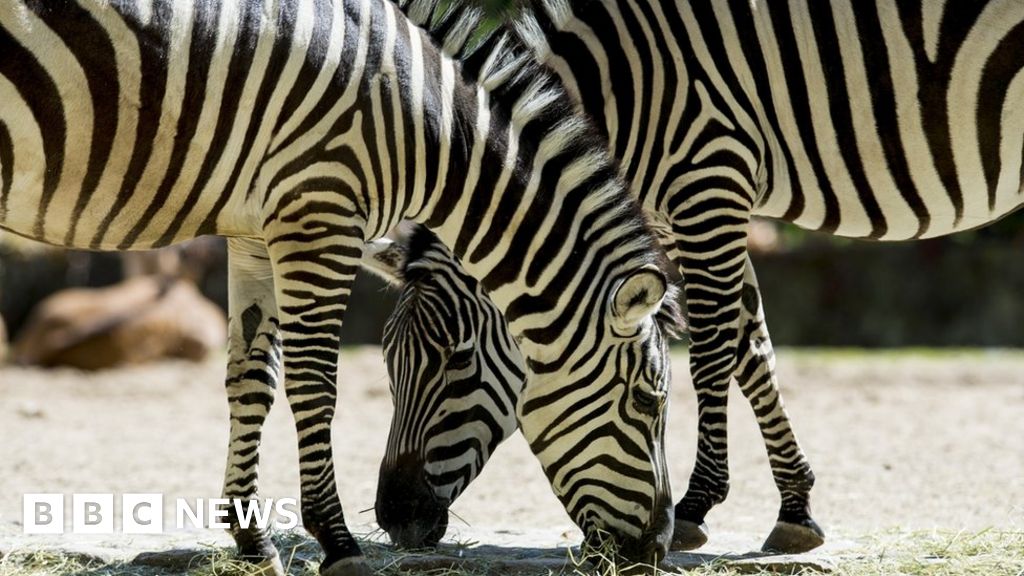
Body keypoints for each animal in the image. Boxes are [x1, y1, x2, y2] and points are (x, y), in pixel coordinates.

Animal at [0, 0, 686, 573]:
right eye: (649, 400)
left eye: (445, 362)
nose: (654, 549)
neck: (425, 131)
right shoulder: (319, 213)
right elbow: (314, 386)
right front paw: (336, 541)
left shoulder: (254, 229)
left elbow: (252, 379)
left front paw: (253, 543)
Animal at [379, 0, 1024, 555]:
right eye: (389, 360)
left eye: (457, 360)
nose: (395, 518)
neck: (626, 89)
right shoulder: (678, 216)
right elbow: (752, 350)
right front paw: (795, 509)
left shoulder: (711, 183)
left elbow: (713, 354)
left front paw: (694, 508)